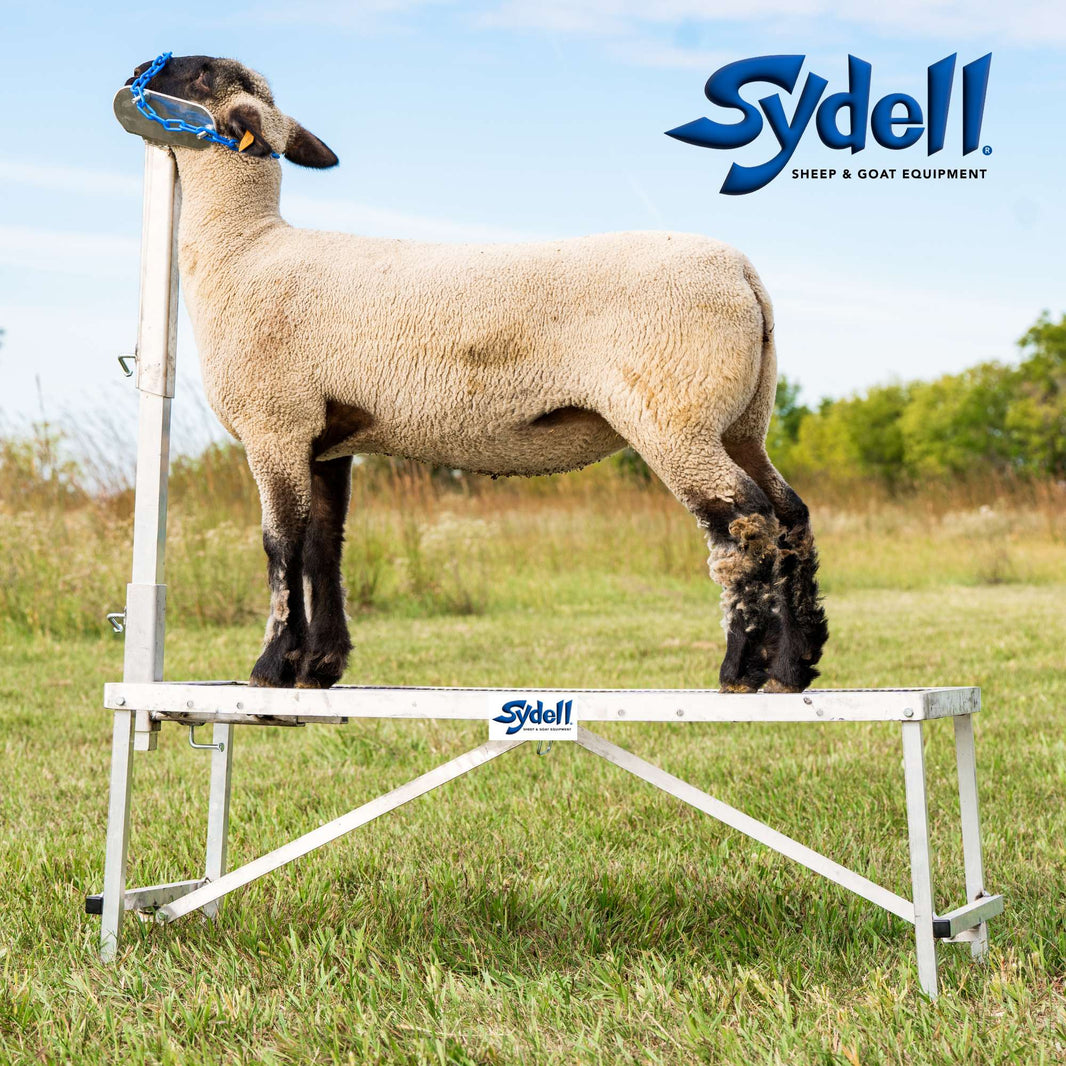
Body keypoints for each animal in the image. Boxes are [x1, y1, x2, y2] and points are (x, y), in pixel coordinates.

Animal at [126, 54, 829, 693]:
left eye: (200, 73)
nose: (135, 69)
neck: (241, 252)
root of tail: (745, 275)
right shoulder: (326, 439)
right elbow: (326, 545)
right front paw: (320, 667)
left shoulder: (276, 425)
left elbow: (283, 547)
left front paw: (272, 667)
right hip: (740, 422)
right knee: (788, 514)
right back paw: (795, 666)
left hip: (674, 414)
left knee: (742, 523)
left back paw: (741, 671)